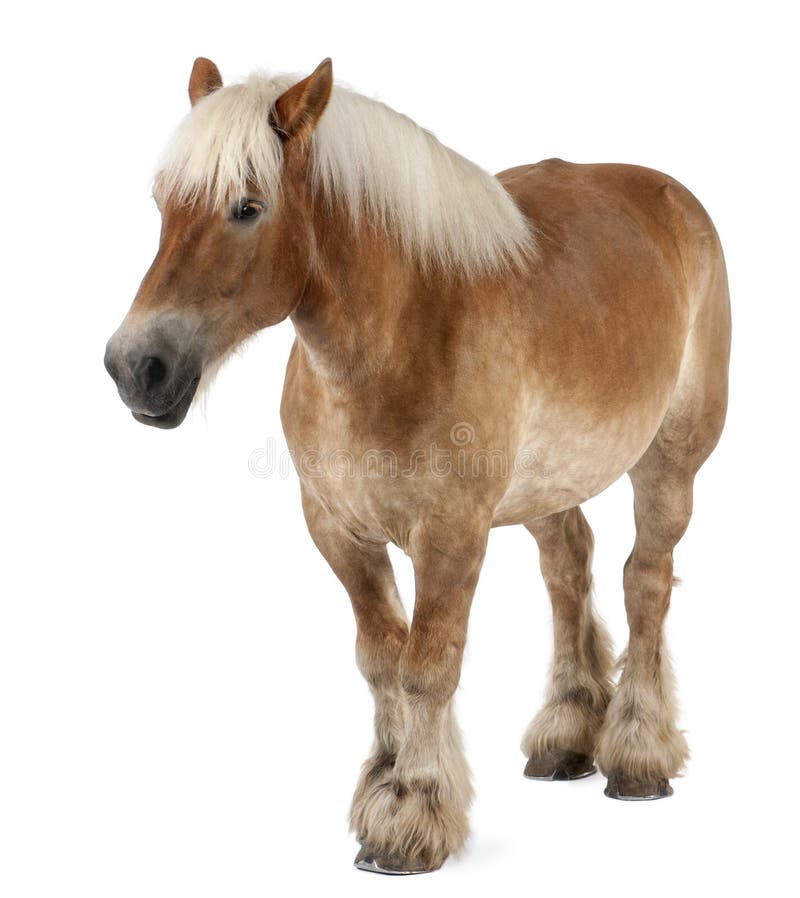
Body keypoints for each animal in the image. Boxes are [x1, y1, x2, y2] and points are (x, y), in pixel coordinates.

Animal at [104, 57, 731, 874]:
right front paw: (382, 785)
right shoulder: (339, 533)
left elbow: (426, 666)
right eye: (163, 204)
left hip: (671, 462)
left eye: (247, 207)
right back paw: (566, 736)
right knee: (569, 571)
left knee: (645, 583)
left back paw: (638, 756)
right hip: (546, 485)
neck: (400, 336)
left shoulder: (453, 535)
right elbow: (380, 659)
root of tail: (671, 198)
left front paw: (412, 815)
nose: (135, 368)